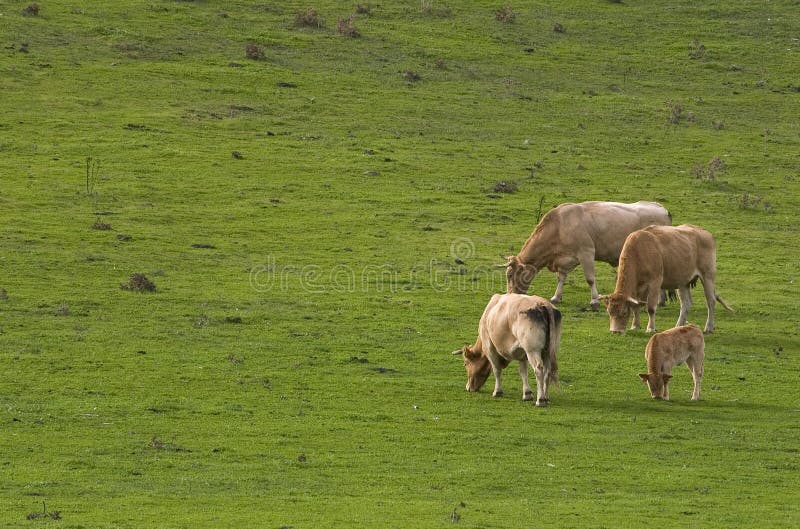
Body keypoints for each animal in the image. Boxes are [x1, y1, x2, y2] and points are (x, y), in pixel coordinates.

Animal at [503, 201, 671, 309]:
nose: (510, 296)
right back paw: (661, 300)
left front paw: (594, 301)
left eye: (510, 275)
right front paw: (556, 297)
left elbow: (590, 279)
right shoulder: (565, 259)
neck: (559, 225)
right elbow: (561, 278)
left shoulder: (586, 252)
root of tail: (661, 208)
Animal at [601, 224, 733, 334]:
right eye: (609, 312)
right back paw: (679, 326)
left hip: (708, 276)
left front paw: (651, 328)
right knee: (686, 304)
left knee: (711, 301)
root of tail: (705, 232)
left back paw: (709, 327)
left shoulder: (655, 282)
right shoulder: (638, 287)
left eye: (623, 312)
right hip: (683, 282)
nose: (615, 331)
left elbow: (650, 308)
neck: (639, 251)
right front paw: (635, 326)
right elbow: (636, 307)